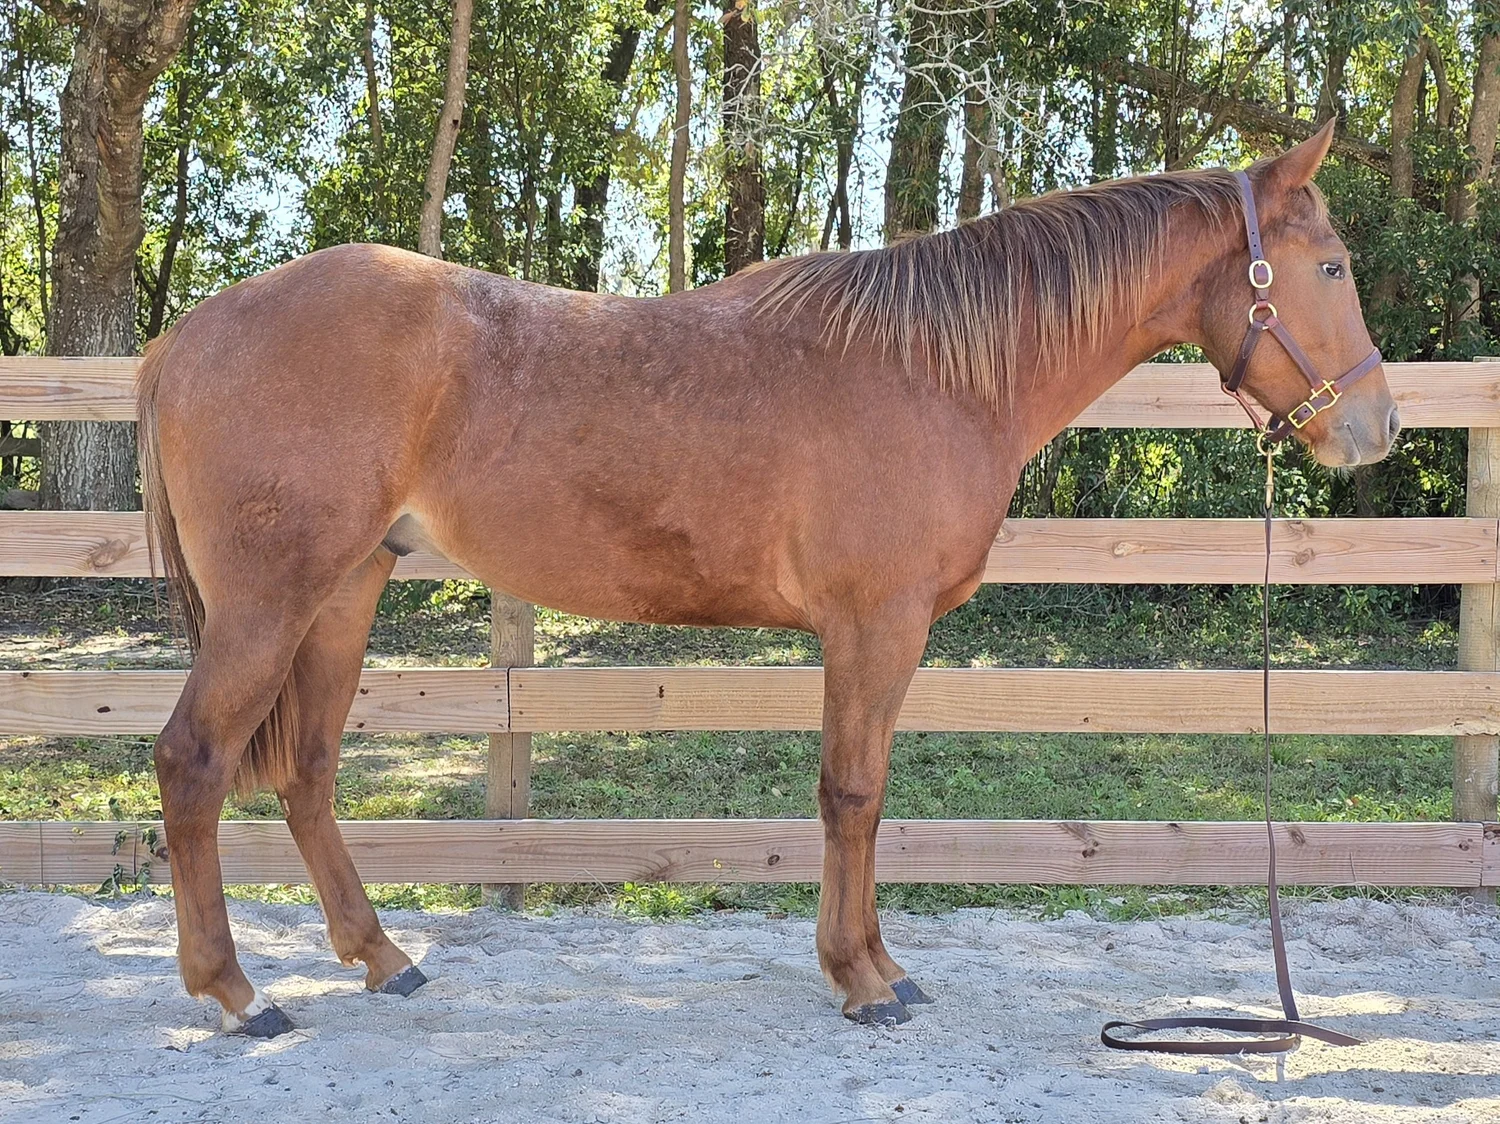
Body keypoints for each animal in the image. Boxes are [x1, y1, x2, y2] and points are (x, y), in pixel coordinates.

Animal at [135, 119, 1397, 1037]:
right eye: (1331, 265)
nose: (1379, 427)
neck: (935, 368)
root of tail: (187, 333)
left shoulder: (882, 633)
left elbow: (865, 795)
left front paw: (880, 962)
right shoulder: (876, 625)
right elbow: (853, 793)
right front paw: (860, 979)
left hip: (344, 593)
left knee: (306, 773)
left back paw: (382, 956)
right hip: (270, 603)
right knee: (193, 761)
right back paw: (235, 991)